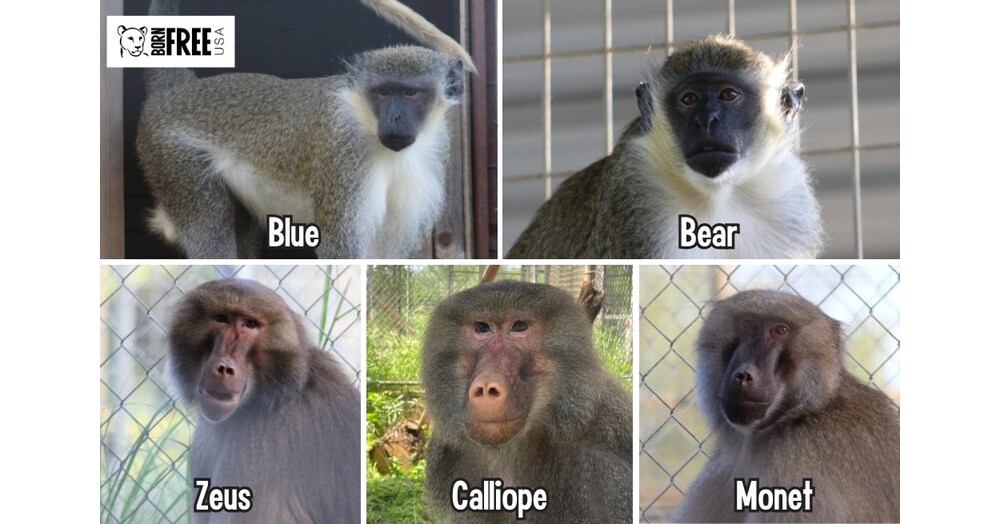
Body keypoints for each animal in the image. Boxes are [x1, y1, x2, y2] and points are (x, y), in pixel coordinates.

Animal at [136, 0, 475, 259]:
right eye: (383, 92)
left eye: (410, 94)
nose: (394, 118)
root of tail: (177, 91)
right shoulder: (343, 155)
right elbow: (340, 248)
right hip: (170, 156)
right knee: (207, 227)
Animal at [507, 35, 823, 259]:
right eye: (689, 99)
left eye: (728, 95)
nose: (707, 121)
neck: (718, 195)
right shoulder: (631, 195)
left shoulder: (788, 200)